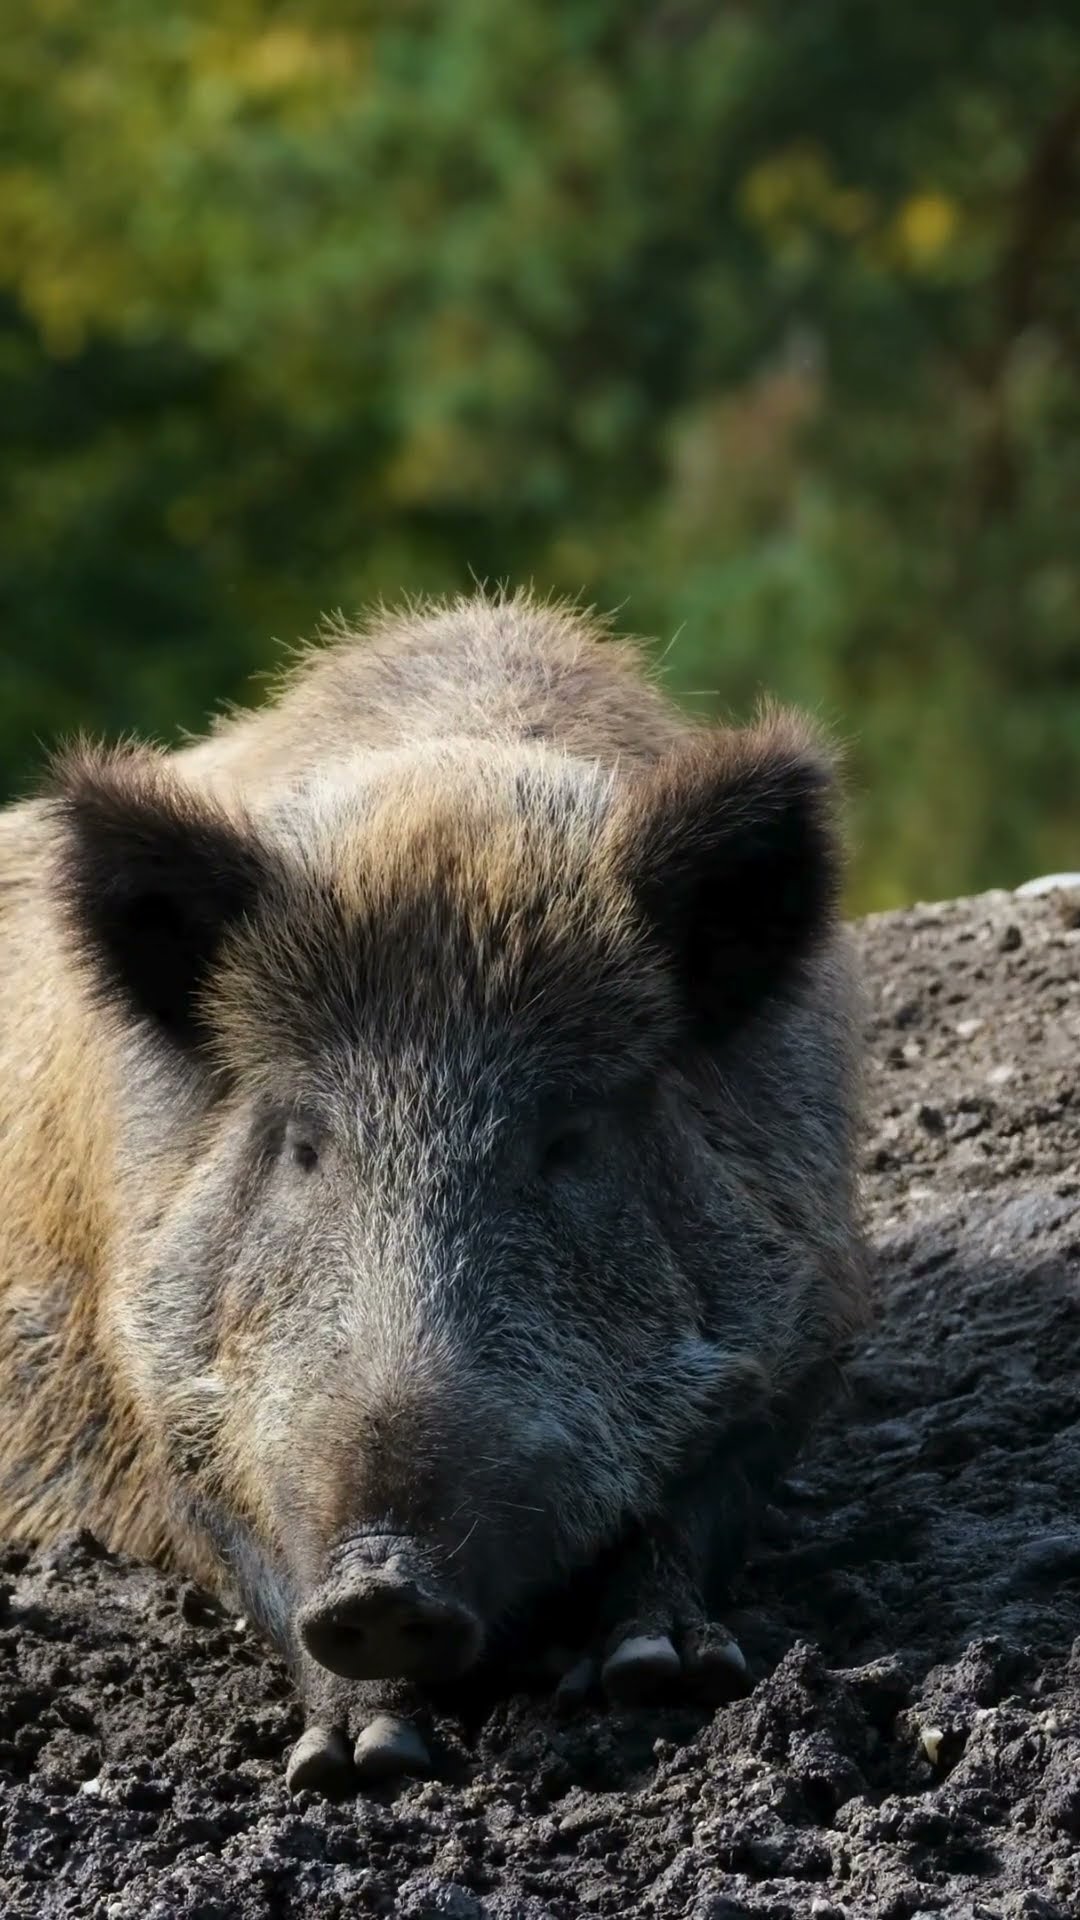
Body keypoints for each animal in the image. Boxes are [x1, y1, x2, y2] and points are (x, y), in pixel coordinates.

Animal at [0, 590, 867, 1791]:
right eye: (304, 1143)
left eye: (568, 1138)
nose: (382, 1581)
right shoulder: (146, 1367)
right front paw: (352, 1759)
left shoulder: (806, 1309)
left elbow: (701, 1505)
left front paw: (658, 1672)